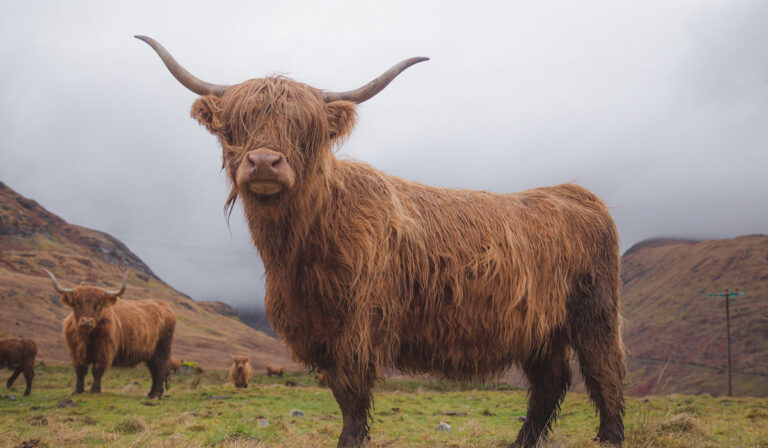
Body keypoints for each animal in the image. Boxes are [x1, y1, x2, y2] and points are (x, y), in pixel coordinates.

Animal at [43, 269, 176, 398]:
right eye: (76, 303)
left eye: (98, 305)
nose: (87, 321)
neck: (85, 337)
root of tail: (166, 307)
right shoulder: (75, 352)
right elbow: (80, 371)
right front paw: (77, 391)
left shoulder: (103, 351)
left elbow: (97, 370)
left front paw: (94, 390)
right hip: (150, 353)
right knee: (154, 370)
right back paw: (150, 393)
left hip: (162, 349)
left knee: (160, 368)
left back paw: (156, 394)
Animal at [137, 36, 626, 447]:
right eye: (234, 126)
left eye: (307, 129)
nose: (263, 162)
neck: (300, 248)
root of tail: (574, 192)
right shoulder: (319, 328)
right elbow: (342, 395)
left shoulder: (358, 323)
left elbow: (352, 398)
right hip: (542, 329)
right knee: (549, 383)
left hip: (594, 311)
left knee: (605, 373)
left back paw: (609, 438)